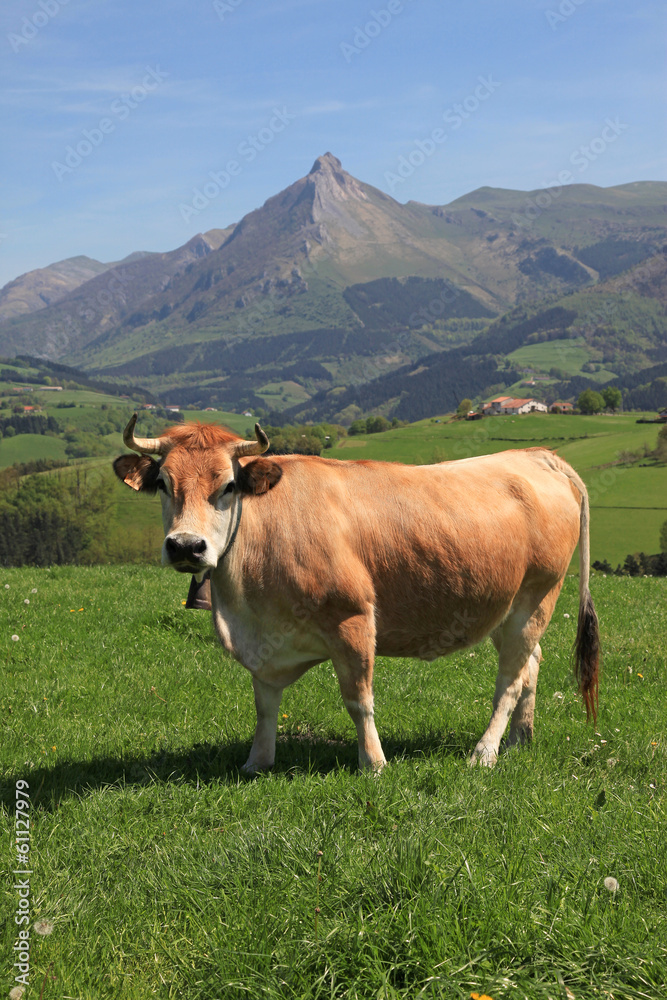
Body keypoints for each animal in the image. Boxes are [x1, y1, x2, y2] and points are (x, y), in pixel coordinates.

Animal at [113, 415, 600, 772]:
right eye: (163, 484)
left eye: (228, 486)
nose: (186, 546)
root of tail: (538, 455)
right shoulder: (264, 639)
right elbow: (264, 704)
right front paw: (257, 762)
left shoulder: (353, 619)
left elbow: (358, 700)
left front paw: (374, 763)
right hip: (504, 605)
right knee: (531, 665)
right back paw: (519, 739)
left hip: (536, 598)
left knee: (512, 678)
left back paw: (484, 753)